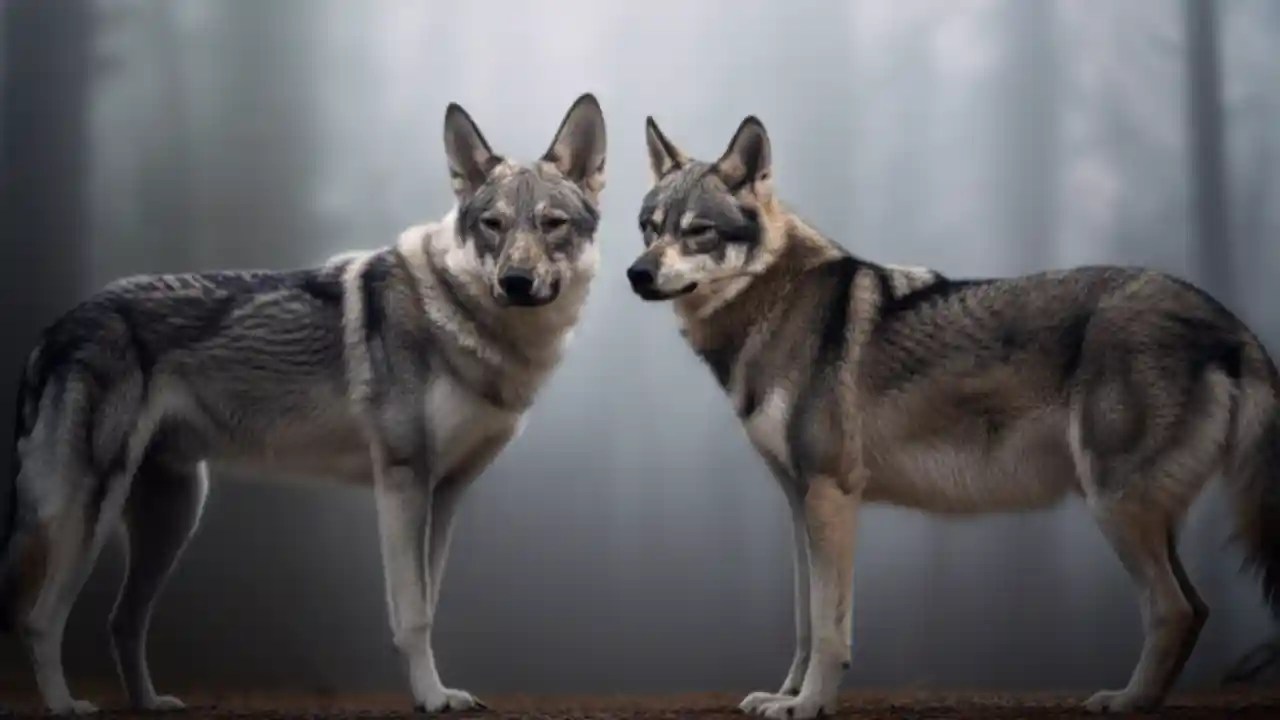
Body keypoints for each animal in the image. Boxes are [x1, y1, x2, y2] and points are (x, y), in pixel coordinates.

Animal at [0, 93, 606, 714]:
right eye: (493, 225)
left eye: (552, 225)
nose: (516, 281)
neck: (470, 323)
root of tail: (59, 324)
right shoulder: (404, 481)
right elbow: (413, 615)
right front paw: (432, 698)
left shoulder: (446, 493)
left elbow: (430, 604)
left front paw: (436, 691)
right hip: (88, 512)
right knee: (39, 618)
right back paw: (65, 705)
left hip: (174, 516)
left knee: (122, 621)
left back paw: (150, 702)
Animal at [626, 114, 1280, 718]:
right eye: (649, 228)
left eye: (698, 232)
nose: (637, 273)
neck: (774, 304)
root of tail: (1229, 320)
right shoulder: (797, 501)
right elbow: (804, 622)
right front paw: (784, 694)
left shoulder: (831, 493)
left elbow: (830, 628)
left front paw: (807, 704)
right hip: (1141, 515)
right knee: (1196, 608)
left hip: (1114, 506)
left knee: (1175, 609)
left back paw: (1125, 700)